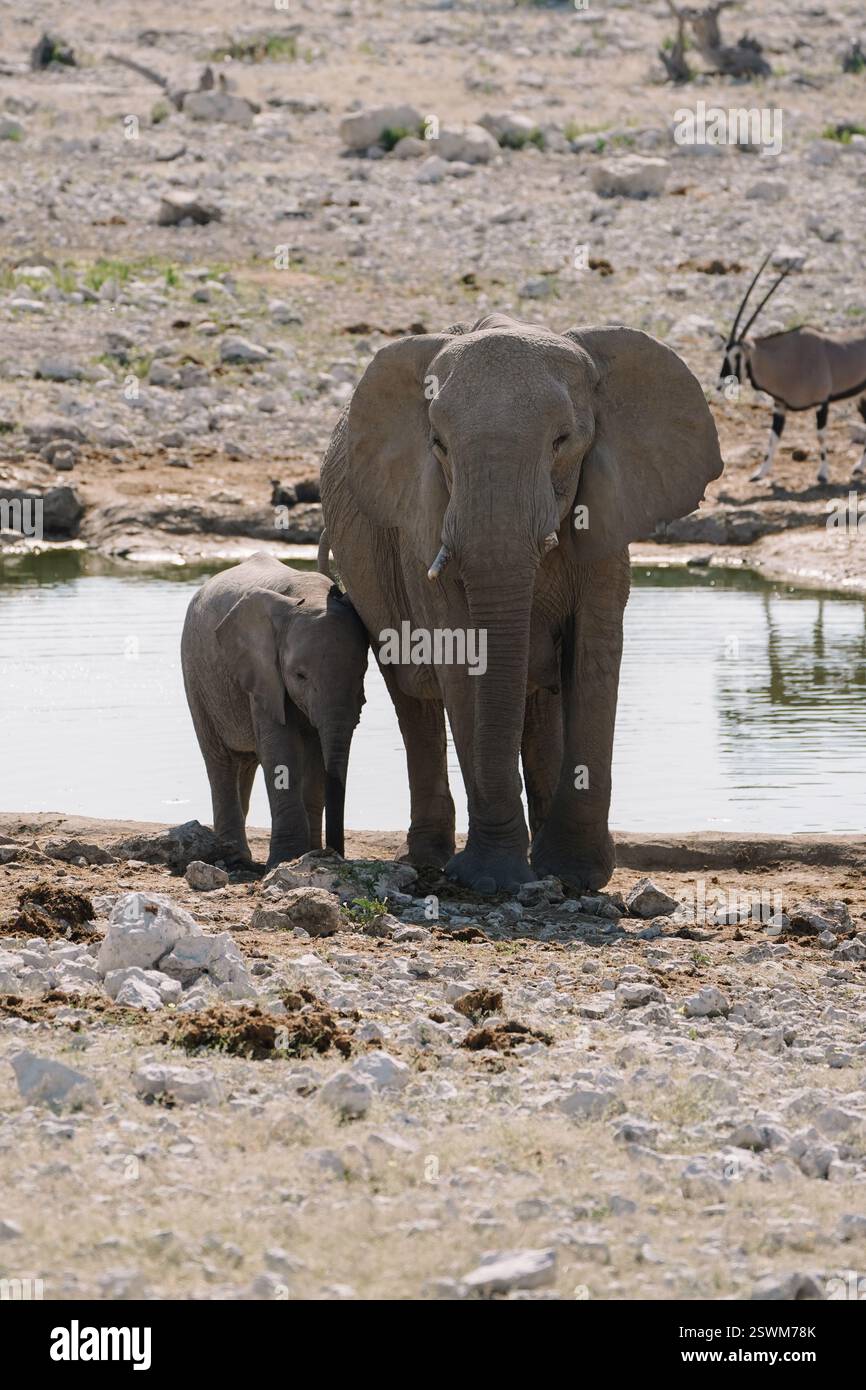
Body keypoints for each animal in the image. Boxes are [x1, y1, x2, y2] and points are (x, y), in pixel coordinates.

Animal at [181, 553, 368, 868]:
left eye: (362, 673)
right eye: (299, 675)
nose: (335, 853)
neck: (311, 592)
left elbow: (317, 756)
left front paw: (308, 853)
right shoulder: (263, 672)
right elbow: (281, 750)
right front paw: (286, 859)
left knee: (244, 762)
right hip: (196, 675)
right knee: (220, 761)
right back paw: (234, 857)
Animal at [319, 312, 722, 893]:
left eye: (562, 441)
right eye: (438, 444)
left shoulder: (609, 510)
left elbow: (594, 655)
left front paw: (576, 875)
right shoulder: (423, 523)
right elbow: (462, 657)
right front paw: (492, 880)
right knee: (413, 696)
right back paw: (429, 860)